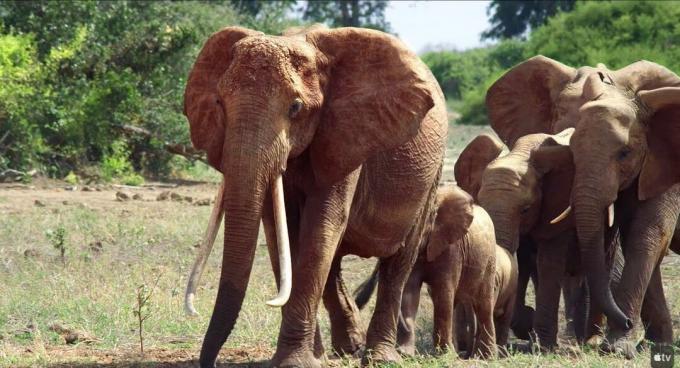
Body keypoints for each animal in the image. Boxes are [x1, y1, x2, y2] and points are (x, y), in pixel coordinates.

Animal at [181, 25, 448, 368]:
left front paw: (295, 362)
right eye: (219, 102)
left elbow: (321, 228)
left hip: (432, 175)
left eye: (295, 108)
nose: (209, 361)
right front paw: (306, 358)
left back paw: (379, 357)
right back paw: (345, 349)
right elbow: (281, 234)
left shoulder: (347, 134)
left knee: (399, 261)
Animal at [398, 185, 516, 358]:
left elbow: (443, 292)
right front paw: (404, 354)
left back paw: (486, 357)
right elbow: (409, 290)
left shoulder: (452, 248)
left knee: (484, 305)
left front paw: (445, 355)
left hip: (489, 261)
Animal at [486, 55, 680, 356]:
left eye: (625, 153)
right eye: (569, 151)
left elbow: (646, 233)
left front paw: (616, 347)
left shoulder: (663, 160)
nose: (626, 322)